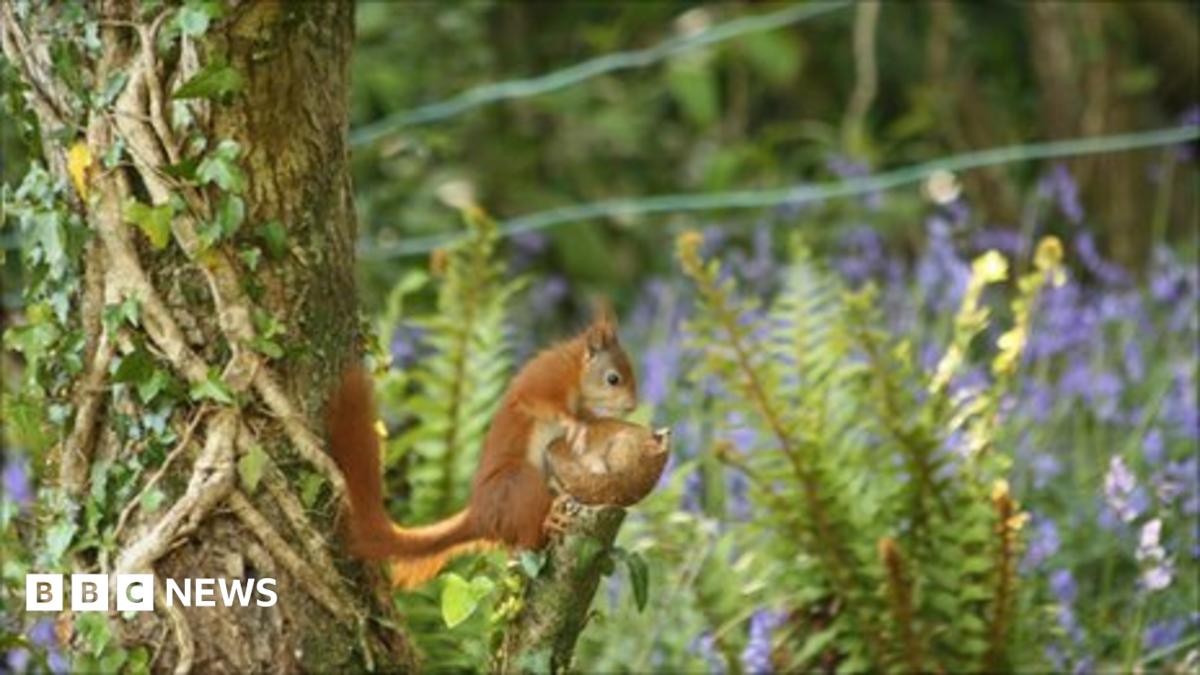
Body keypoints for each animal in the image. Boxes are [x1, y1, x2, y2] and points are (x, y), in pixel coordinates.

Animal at [326, 304, 638, 588]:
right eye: (613, 379)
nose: (634, 406)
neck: (575, 372)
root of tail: (482, 515)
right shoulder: (545, 379)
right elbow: (540, 402)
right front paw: (573, 423)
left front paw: (594, 424)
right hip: (520, 483)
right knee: (527, 540)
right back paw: (550, 522)